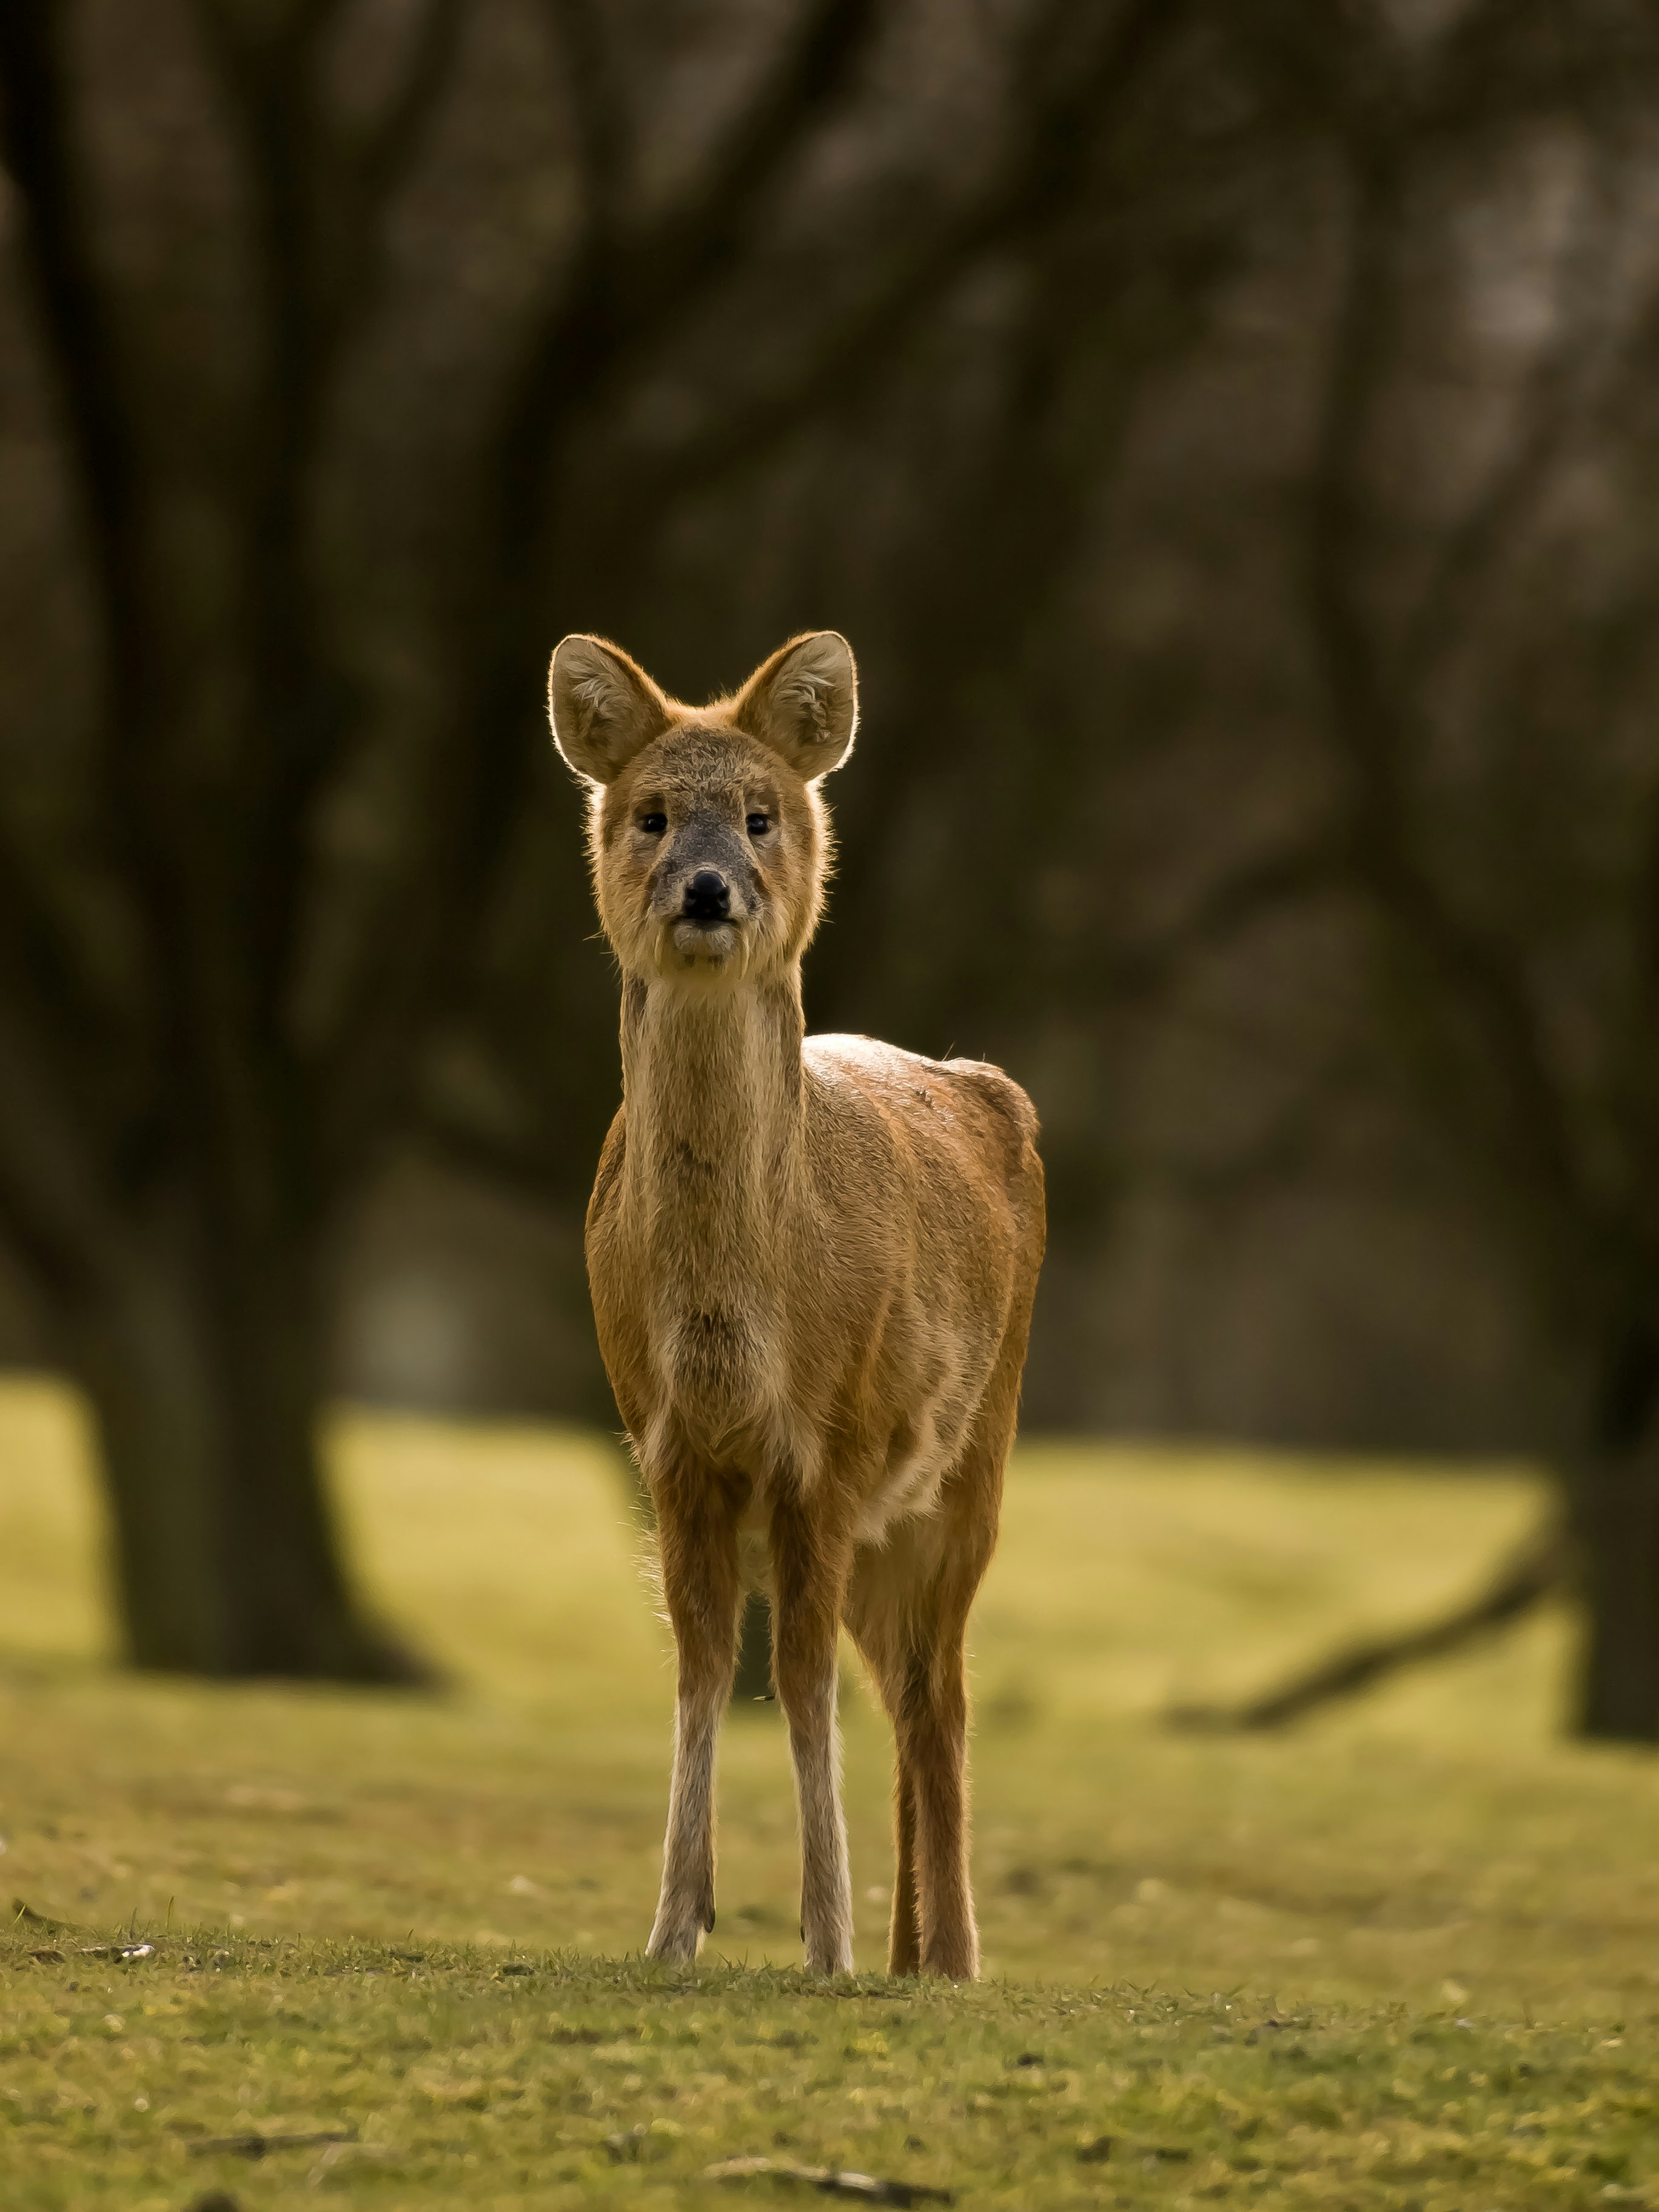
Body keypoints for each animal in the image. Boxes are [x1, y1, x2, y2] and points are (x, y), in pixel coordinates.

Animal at [547, 628, 1045, 1979]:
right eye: (653, 815)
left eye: (763, 813)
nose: (708, 889)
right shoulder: (664, 1441)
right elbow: (705, 1664)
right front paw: (676, 1926)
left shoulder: (826, 1438)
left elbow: (801, 1678)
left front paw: (823, 1940)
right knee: (906, 1686)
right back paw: (914, 1951)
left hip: (972, 1459)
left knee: (941, 1691)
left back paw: (951, 1956)